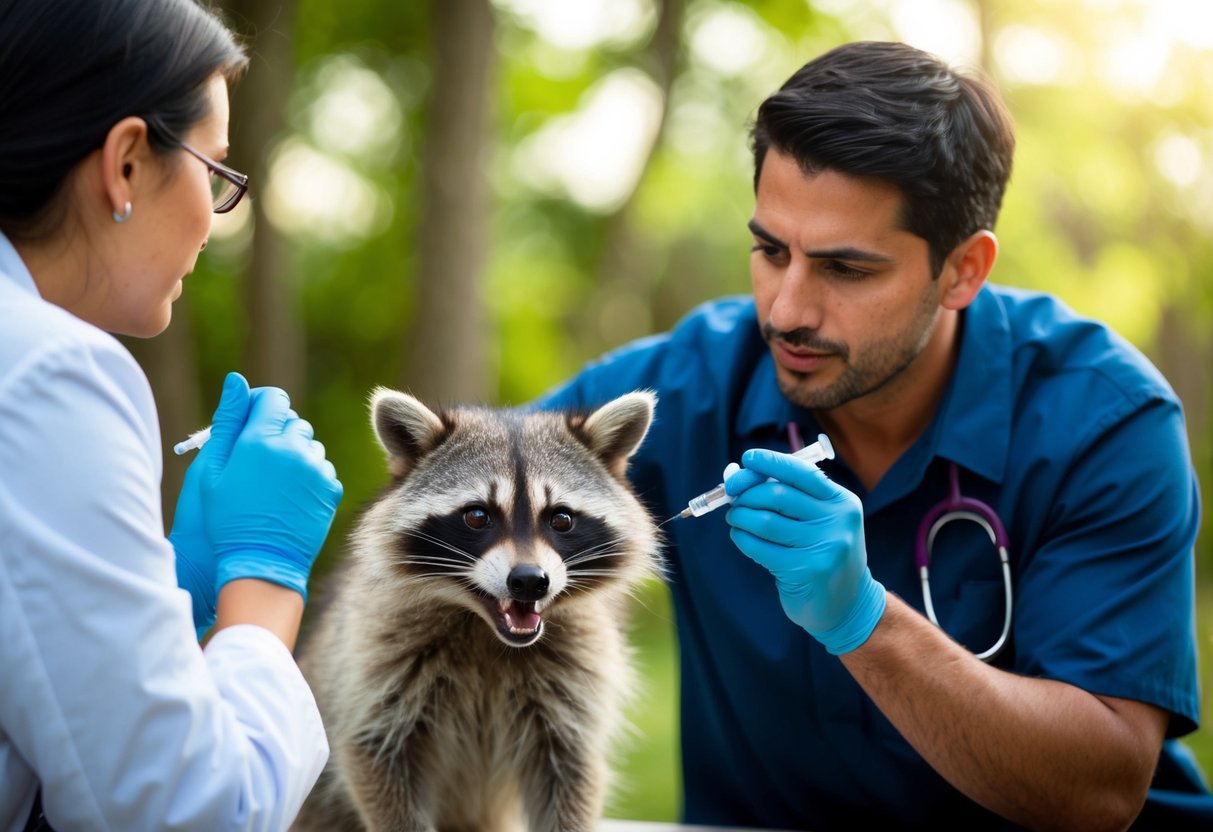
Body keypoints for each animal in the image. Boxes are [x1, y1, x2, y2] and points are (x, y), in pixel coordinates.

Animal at [292, 389, 663, 832]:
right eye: (476, 515)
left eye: (561, 519)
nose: (529, 581)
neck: (485, 629)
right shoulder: (374, 657)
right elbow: (375, 752)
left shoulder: (576, 679)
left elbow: (572, 772)